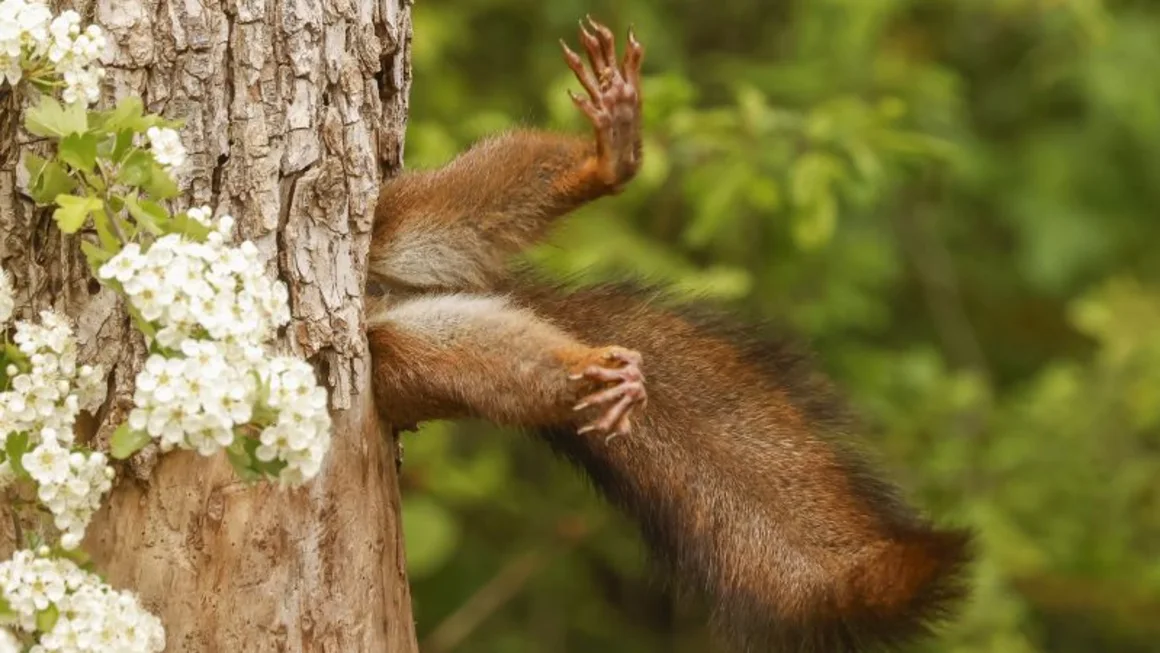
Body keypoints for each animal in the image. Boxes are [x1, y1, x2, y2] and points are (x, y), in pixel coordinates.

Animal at [364, 17, 972, 653]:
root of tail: (387, 297)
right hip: (406, 357)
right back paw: (596, 376)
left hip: (400, 218)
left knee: (473, 196)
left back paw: (609, 158)